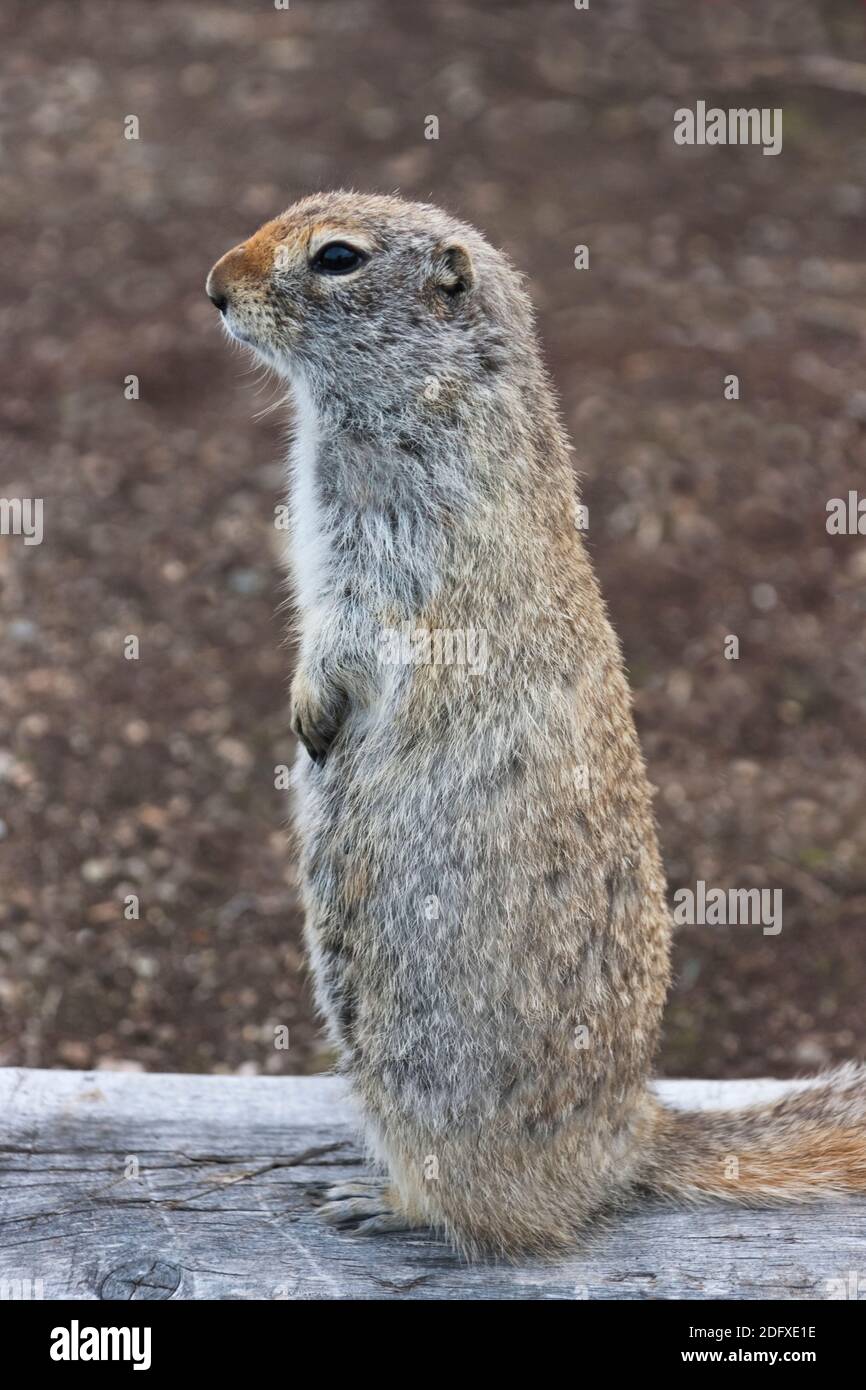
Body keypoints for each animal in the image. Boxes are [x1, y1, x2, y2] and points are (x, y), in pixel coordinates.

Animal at [207, 192, 866, 1257]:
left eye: (338, 258)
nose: (215, 287)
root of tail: (629, 1139)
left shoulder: (405, 550)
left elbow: (356, 630)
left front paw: (313, 711)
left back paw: (383, 1201)